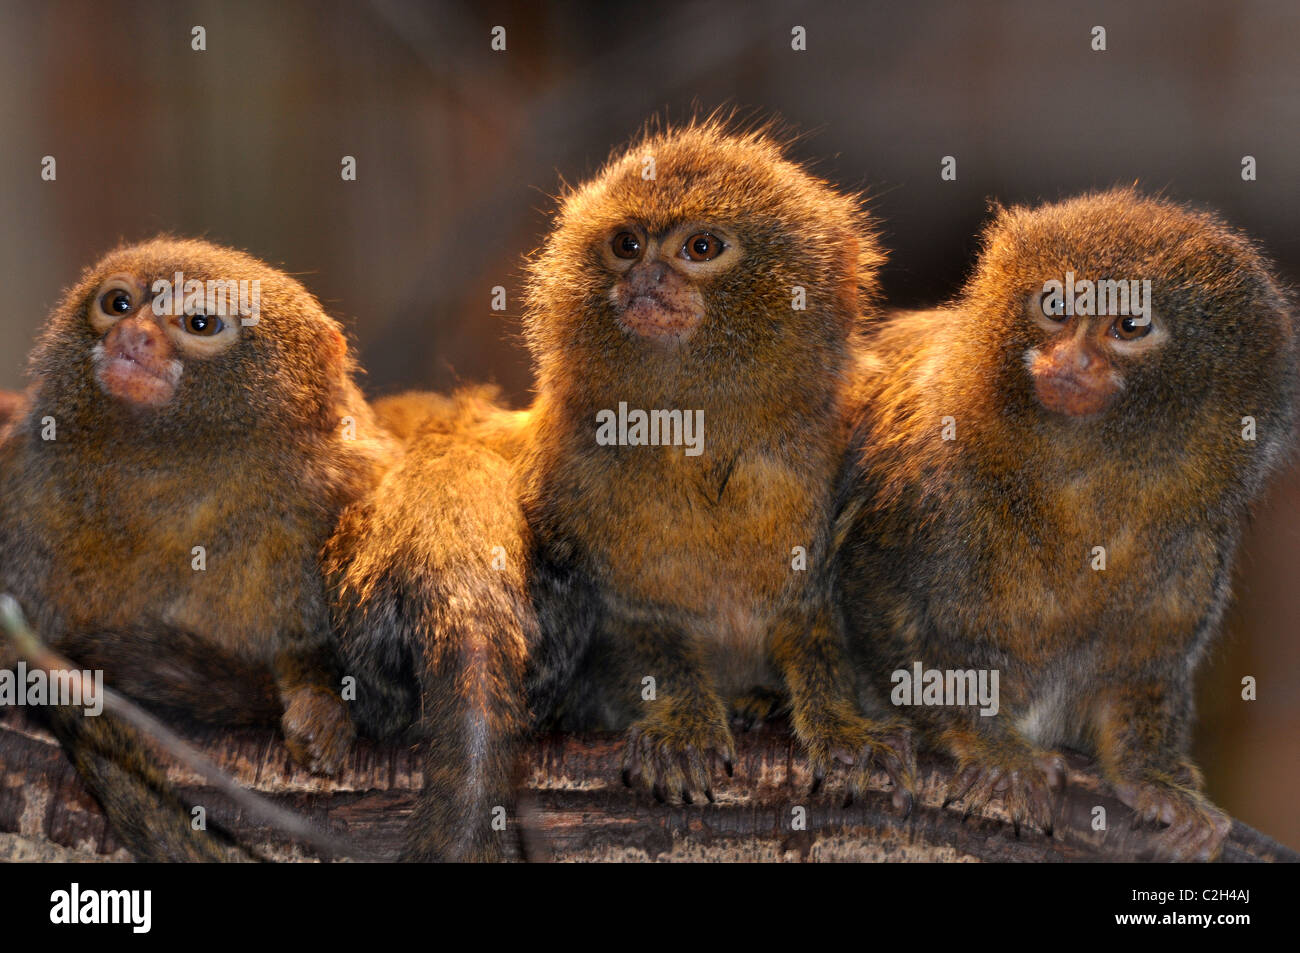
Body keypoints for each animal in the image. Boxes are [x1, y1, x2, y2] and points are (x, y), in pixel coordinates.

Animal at [0, 237, 394, 860]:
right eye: (117, 303)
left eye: (199, 323)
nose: (131, 336)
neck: (169, 468)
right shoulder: (26, 486)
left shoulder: (337, 493)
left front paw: (319, 701)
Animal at [834, 188, 1297, 860]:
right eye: (1055, 307)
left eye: (1130, 326)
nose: (1069, 359)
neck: (1081, 482)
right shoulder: (924, 481)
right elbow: (891, 615)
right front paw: (993, 748)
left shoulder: (1195, 545)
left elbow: (1140, 668)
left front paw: (1152, 779)